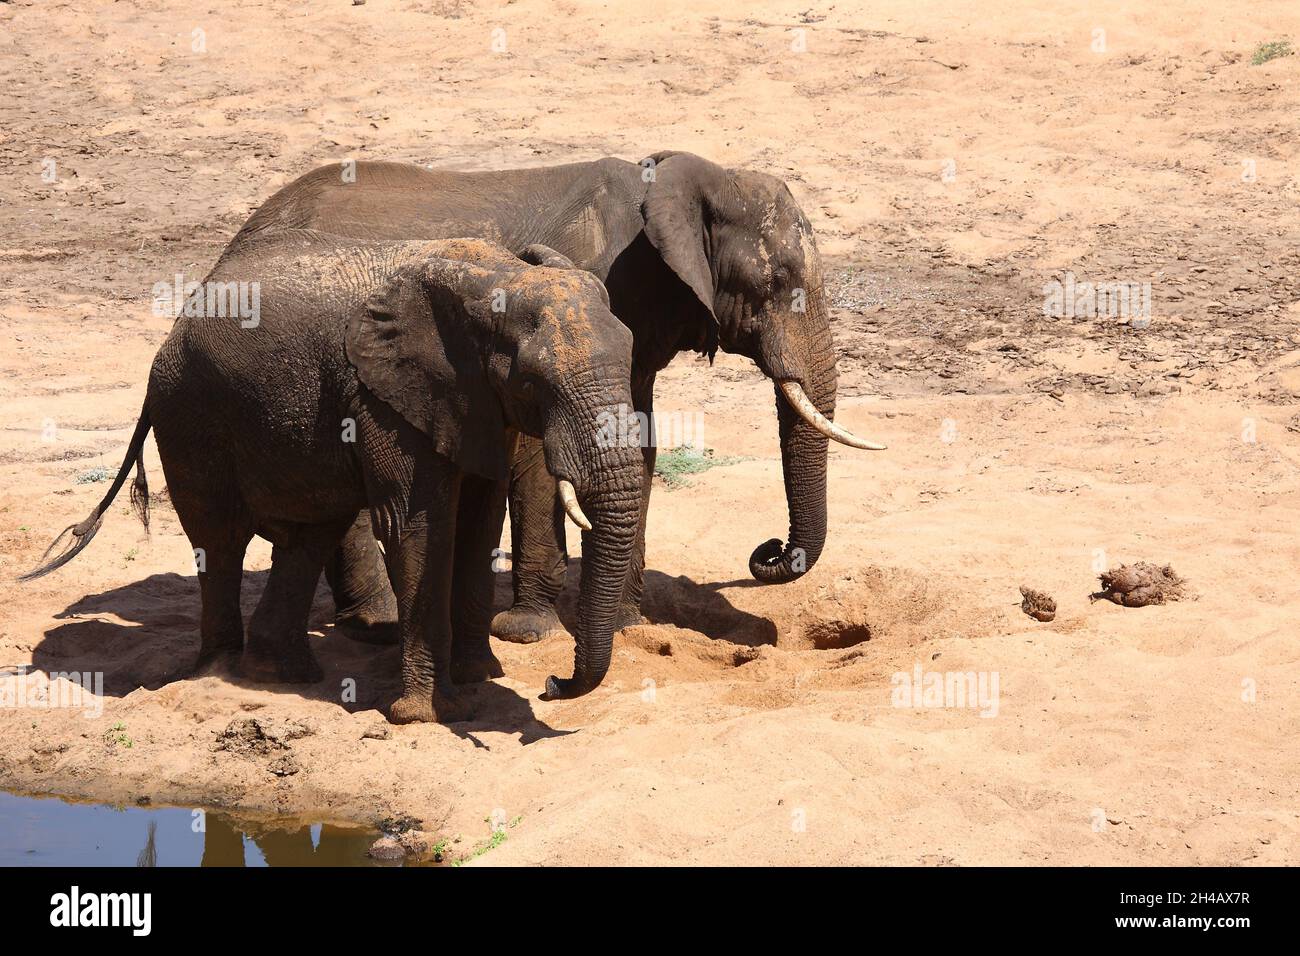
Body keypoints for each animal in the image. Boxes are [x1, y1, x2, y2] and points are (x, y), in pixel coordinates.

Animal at [22, 231, 643, 722]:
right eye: (534, 381)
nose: (552, 684)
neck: (495, 277)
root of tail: (170, 334)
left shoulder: (477, 406)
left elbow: (477, 524)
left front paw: (481, 676)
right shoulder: (383, 398)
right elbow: (417, 528)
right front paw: (430, 714)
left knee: (308, 534)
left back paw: (279, 674)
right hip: (189, 413)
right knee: (221, 542)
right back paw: (219, 671)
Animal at [231, 151, 885, 647]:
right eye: (778, 283)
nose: (768, 549)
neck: (684, 179)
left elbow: (634, 447)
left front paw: (626, 626)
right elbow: (547, 453)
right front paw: (529, 632)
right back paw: (380, 623)